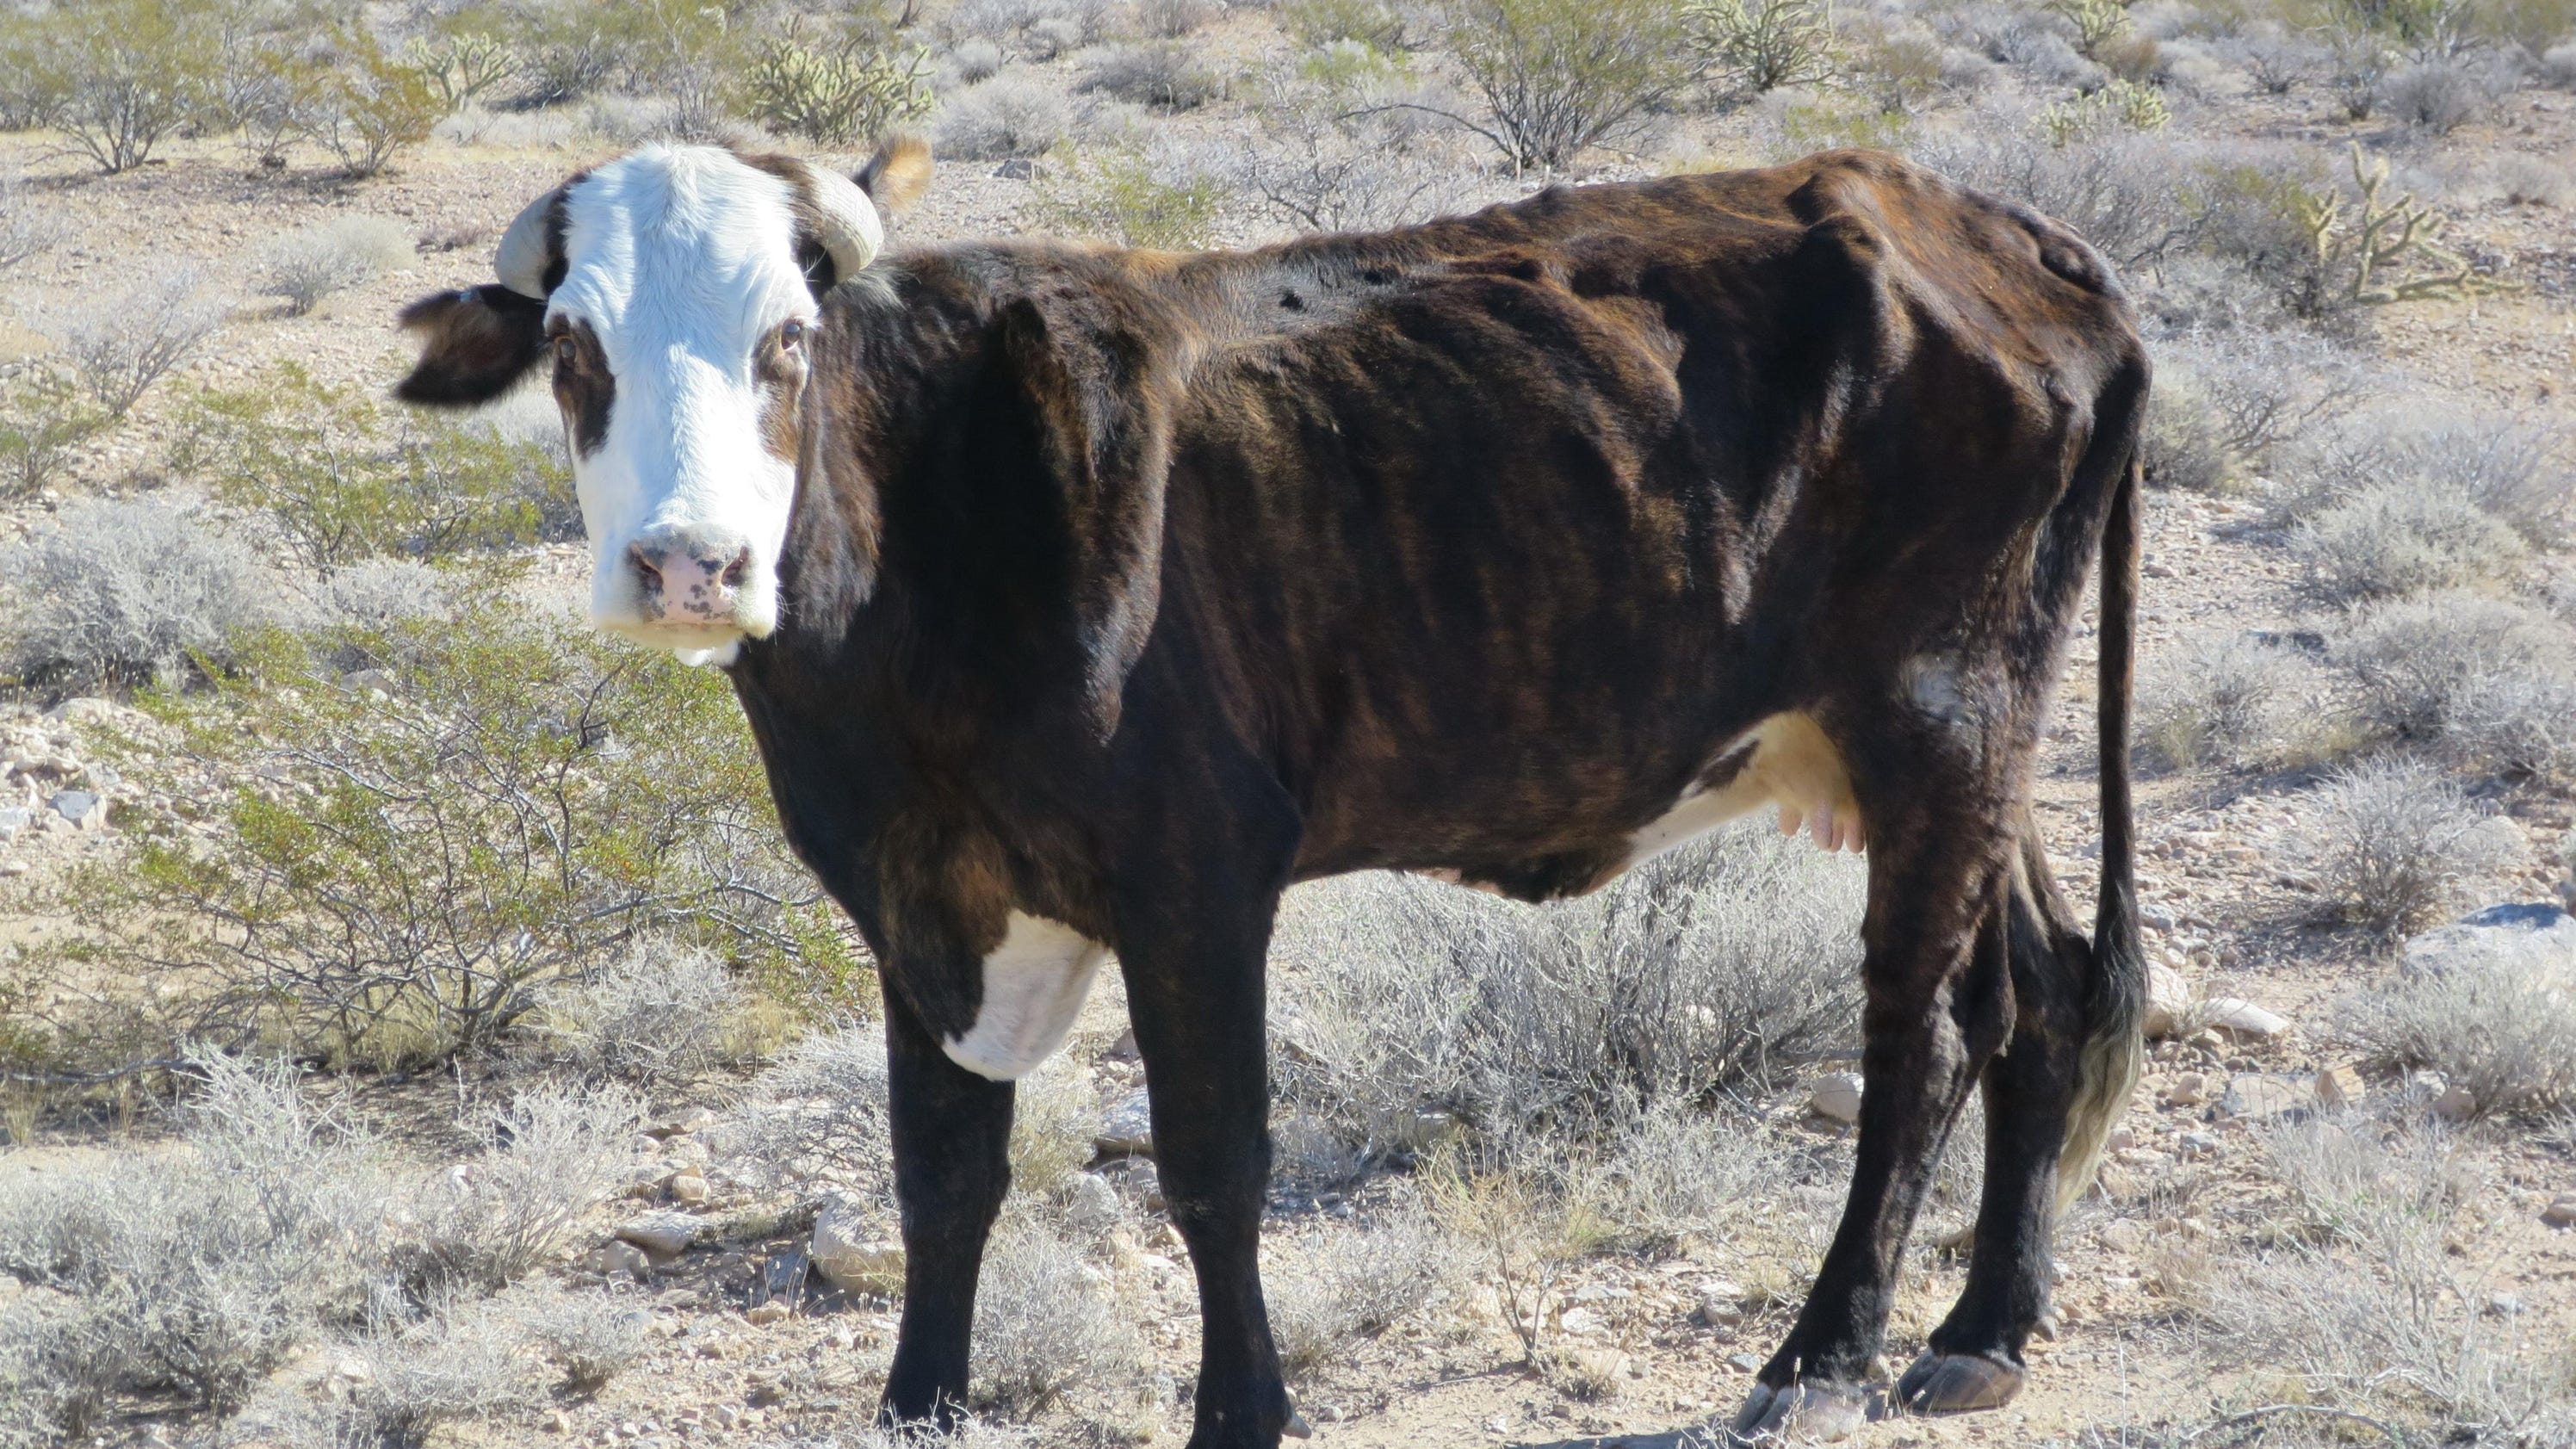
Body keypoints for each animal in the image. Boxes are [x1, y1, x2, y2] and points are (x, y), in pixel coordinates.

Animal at [396, 137, 2149, 1447]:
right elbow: (942, 1169)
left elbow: (1212, 1159)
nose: (688, 564)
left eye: (788, 337)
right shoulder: (914, 896)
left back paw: (1821, 1356)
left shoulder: (1195, 876)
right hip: (1953, 745)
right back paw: (1984, 1325)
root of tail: (1993, 227)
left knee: (1923, 1033)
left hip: (1941, 712)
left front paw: (1241, 1408)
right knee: (2041, 990)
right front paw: (919, 1403)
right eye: (572, 348)